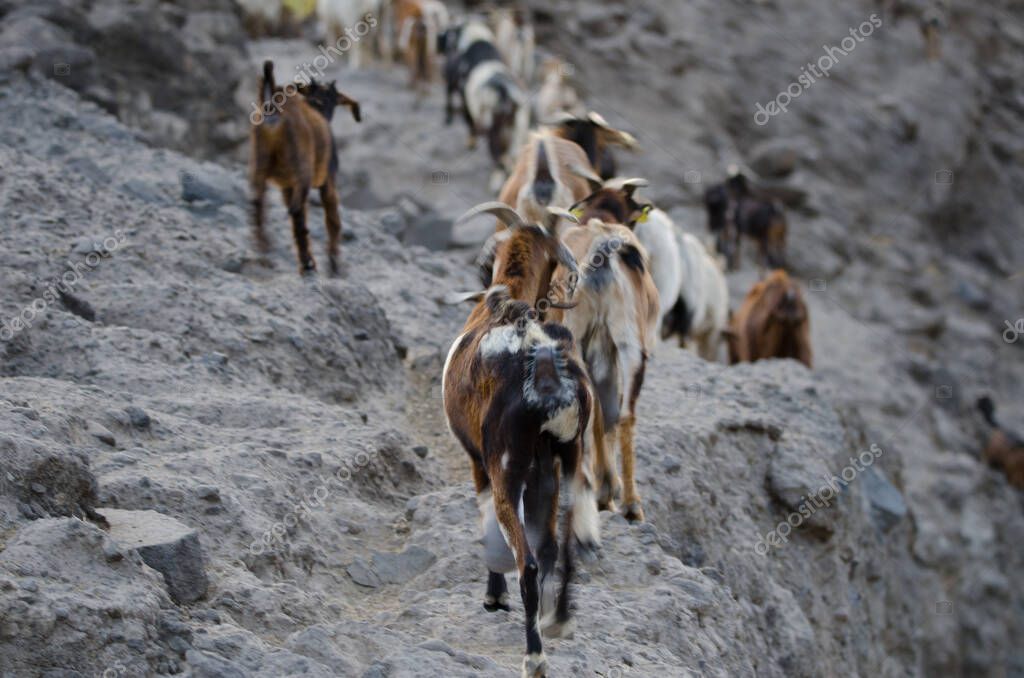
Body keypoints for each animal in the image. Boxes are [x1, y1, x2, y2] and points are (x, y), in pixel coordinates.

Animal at [249, 62, 361, 275]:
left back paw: (264, 247)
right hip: (302, 169)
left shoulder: (287, 186)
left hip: (261, 164)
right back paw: (306, 260)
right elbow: (333, 220)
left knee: (259, 203)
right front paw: (333, 264)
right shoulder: (328, 182)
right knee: (296, 211)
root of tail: (273, 110)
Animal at [443, 203, 598, 678]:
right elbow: (549, 540)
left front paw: (494, 595)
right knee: (564, 544)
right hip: (572, 454)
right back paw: (559, 618)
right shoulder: (546, 464)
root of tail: (544, 363)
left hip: (506, 468)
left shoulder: (479, 460)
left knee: (526, 560)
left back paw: (534, 657)